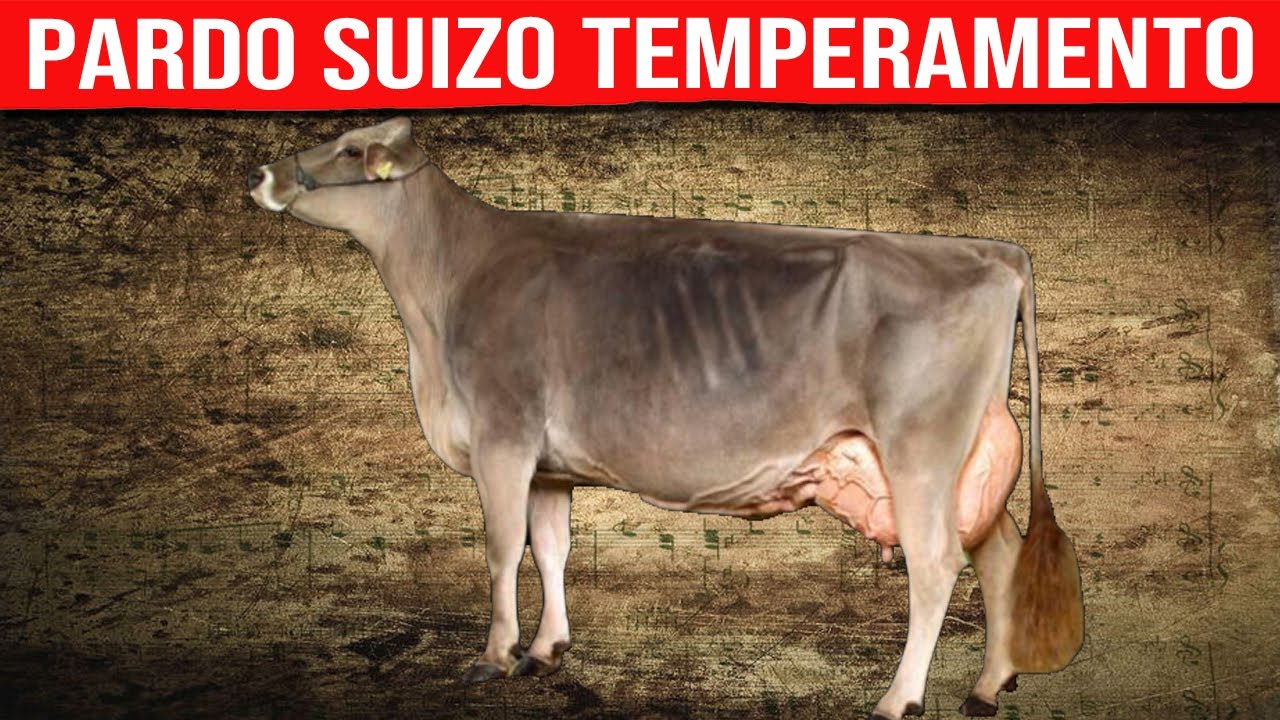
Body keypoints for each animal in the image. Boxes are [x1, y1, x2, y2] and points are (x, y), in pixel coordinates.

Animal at [247, 117, 1083, 719]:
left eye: (353, 149)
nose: (262, 174)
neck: (440, 297)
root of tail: (994, 250)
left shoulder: (503, 435)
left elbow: (500, 549)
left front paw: (492, 657)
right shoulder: (550, 464)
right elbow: (551, 548)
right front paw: (545, 650)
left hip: (920, 448)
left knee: (937, 563)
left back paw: (898, 699)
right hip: (968, 455)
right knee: (997, 554)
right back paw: (987, 686)